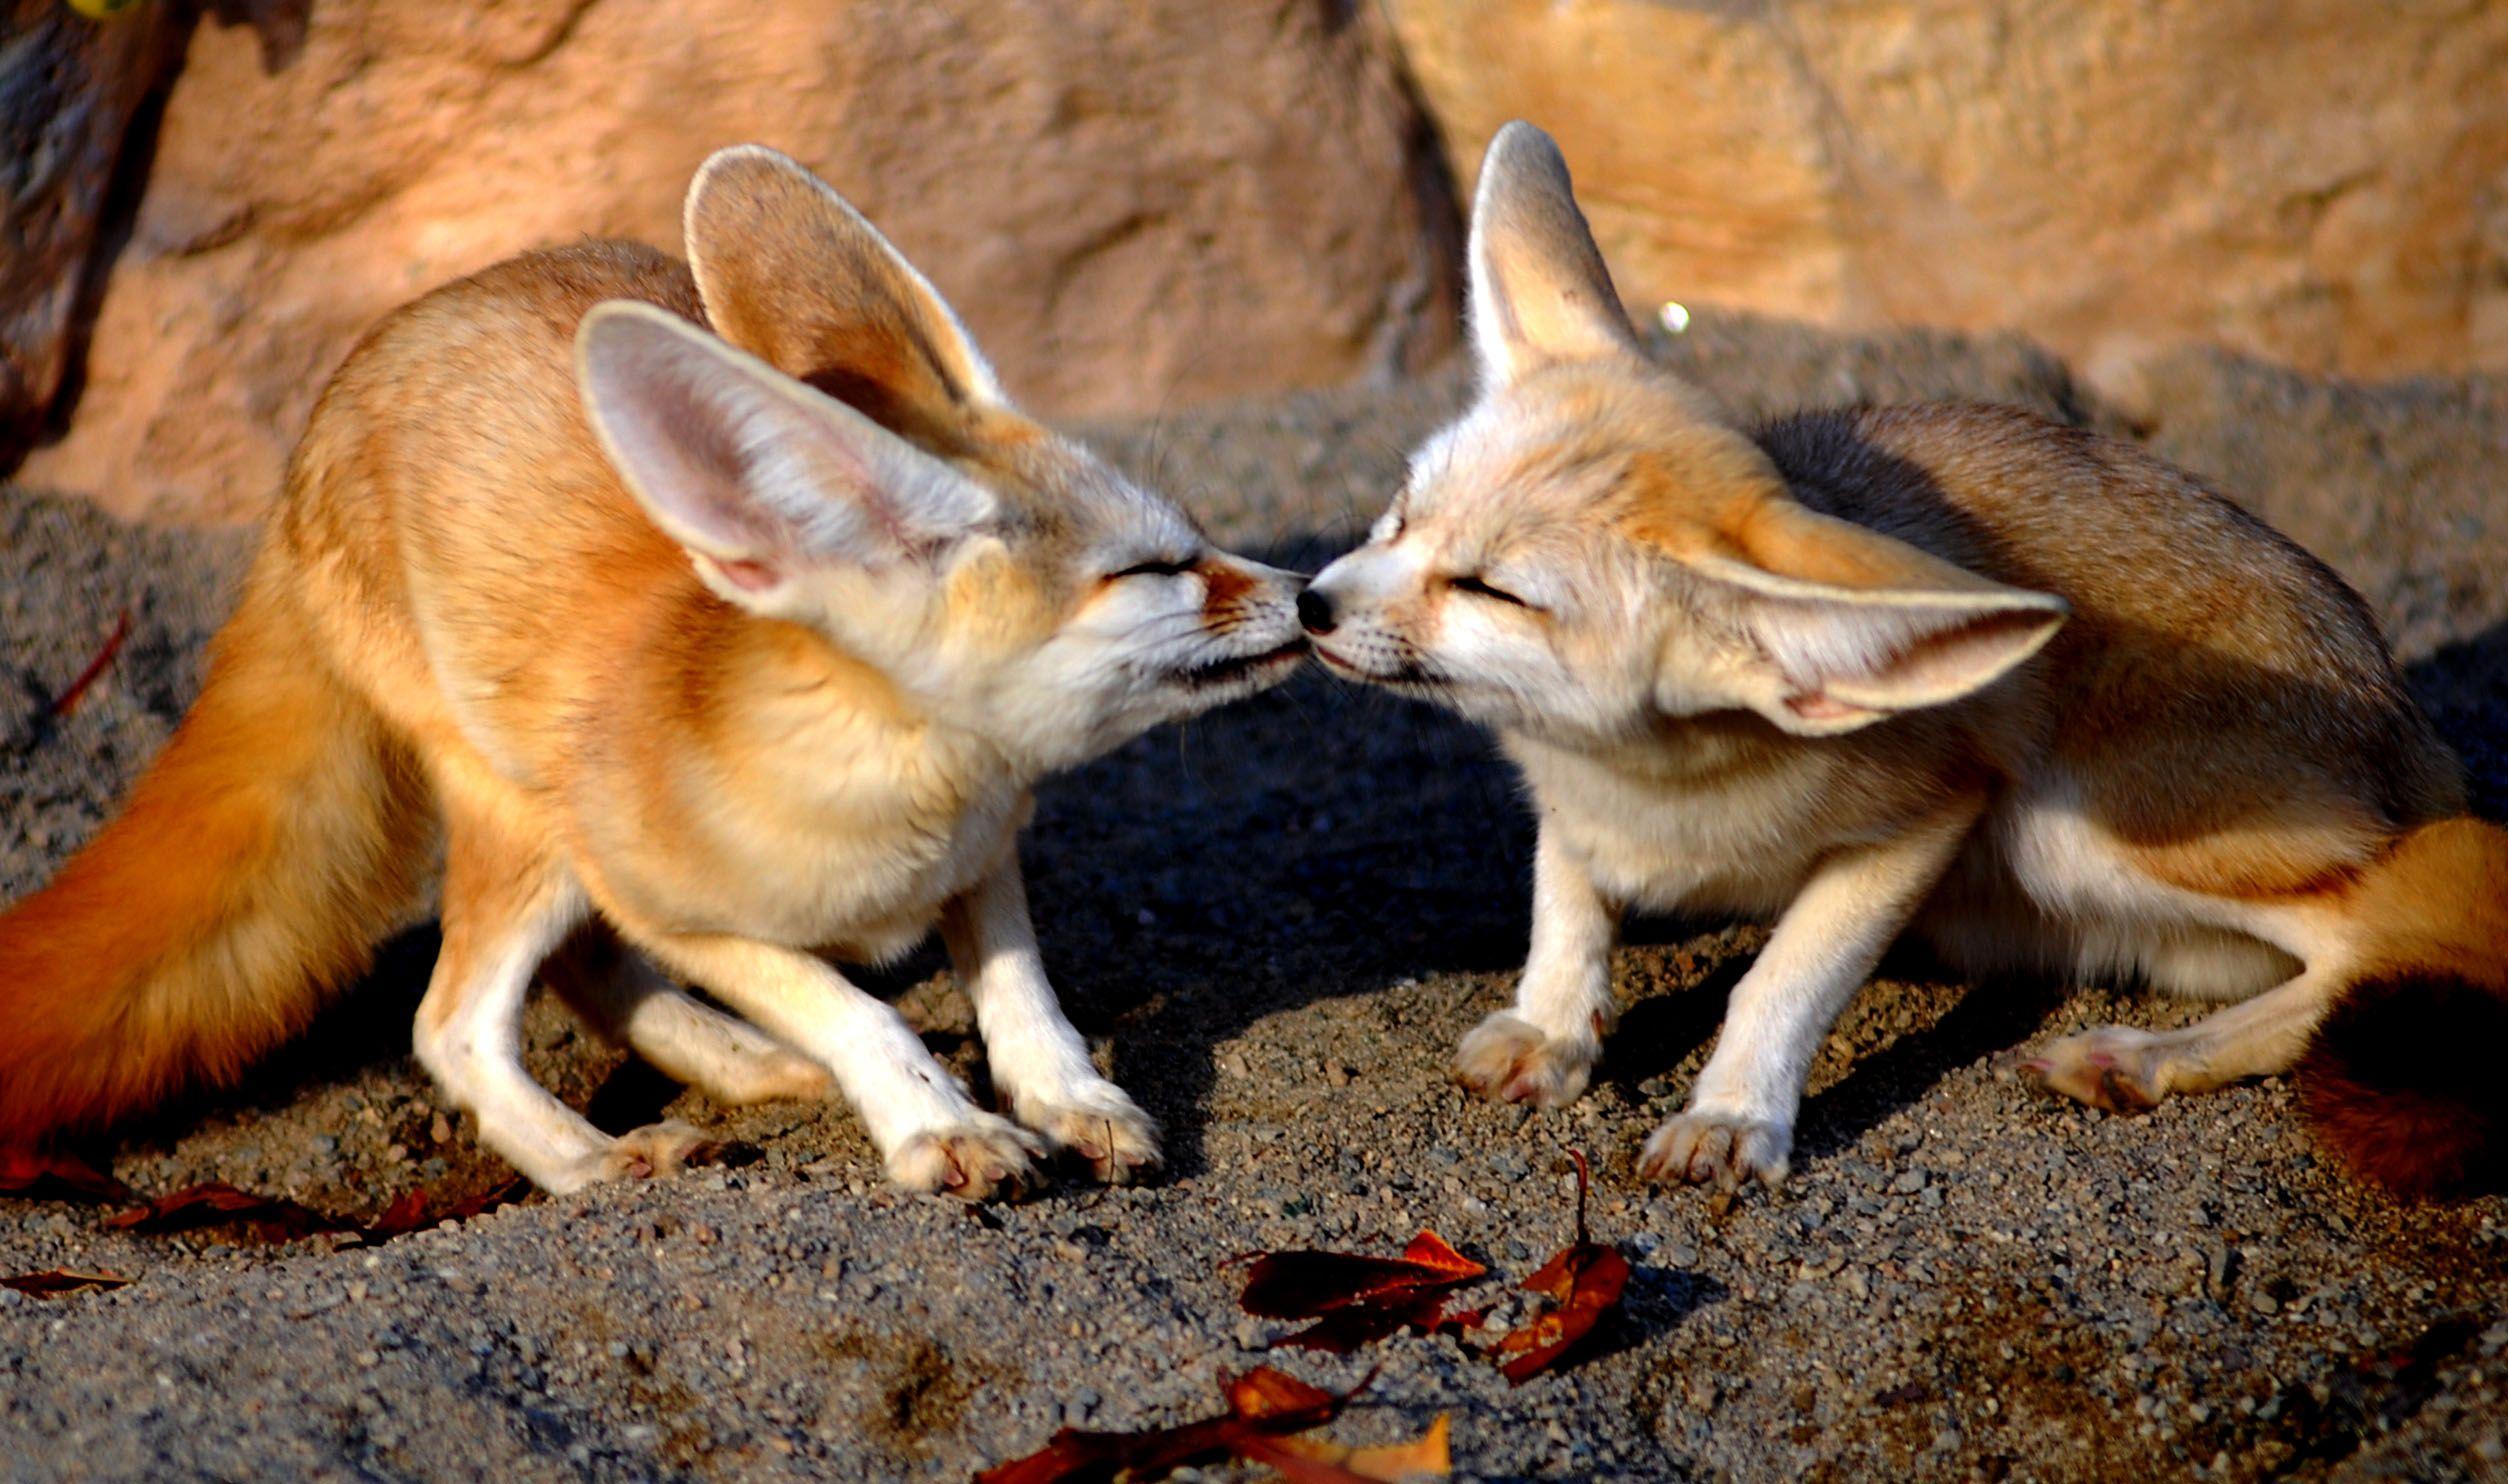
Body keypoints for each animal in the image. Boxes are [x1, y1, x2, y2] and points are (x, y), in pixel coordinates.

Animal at [0, 146, 1307, 1198]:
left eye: (1193, 535)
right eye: (1152, 571)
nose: (1310, 595)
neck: (902, 784)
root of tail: (315, 435)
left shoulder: (985, 855)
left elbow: (1022, 992)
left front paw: (1068, 1096)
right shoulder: (664, 896)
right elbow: (855, 1004)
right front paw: (940, 1121)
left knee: (575, 974)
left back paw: (743, 1067)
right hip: (527, 821)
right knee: (453, 1020)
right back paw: (590, 1158)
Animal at [1301, 121, 2506, 1198]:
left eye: (1494, 591)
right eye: (1399, 517)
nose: (1310, 605)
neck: (1650, 782)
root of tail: (2410, 724)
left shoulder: (1928, 816)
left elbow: (1780, 980)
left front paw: (1732, 1113)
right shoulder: (1571, 804)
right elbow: (1565, 906)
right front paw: (1553, 1029)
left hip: (2072, 829)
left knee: (2386, 941)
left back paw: (2143, 1056)